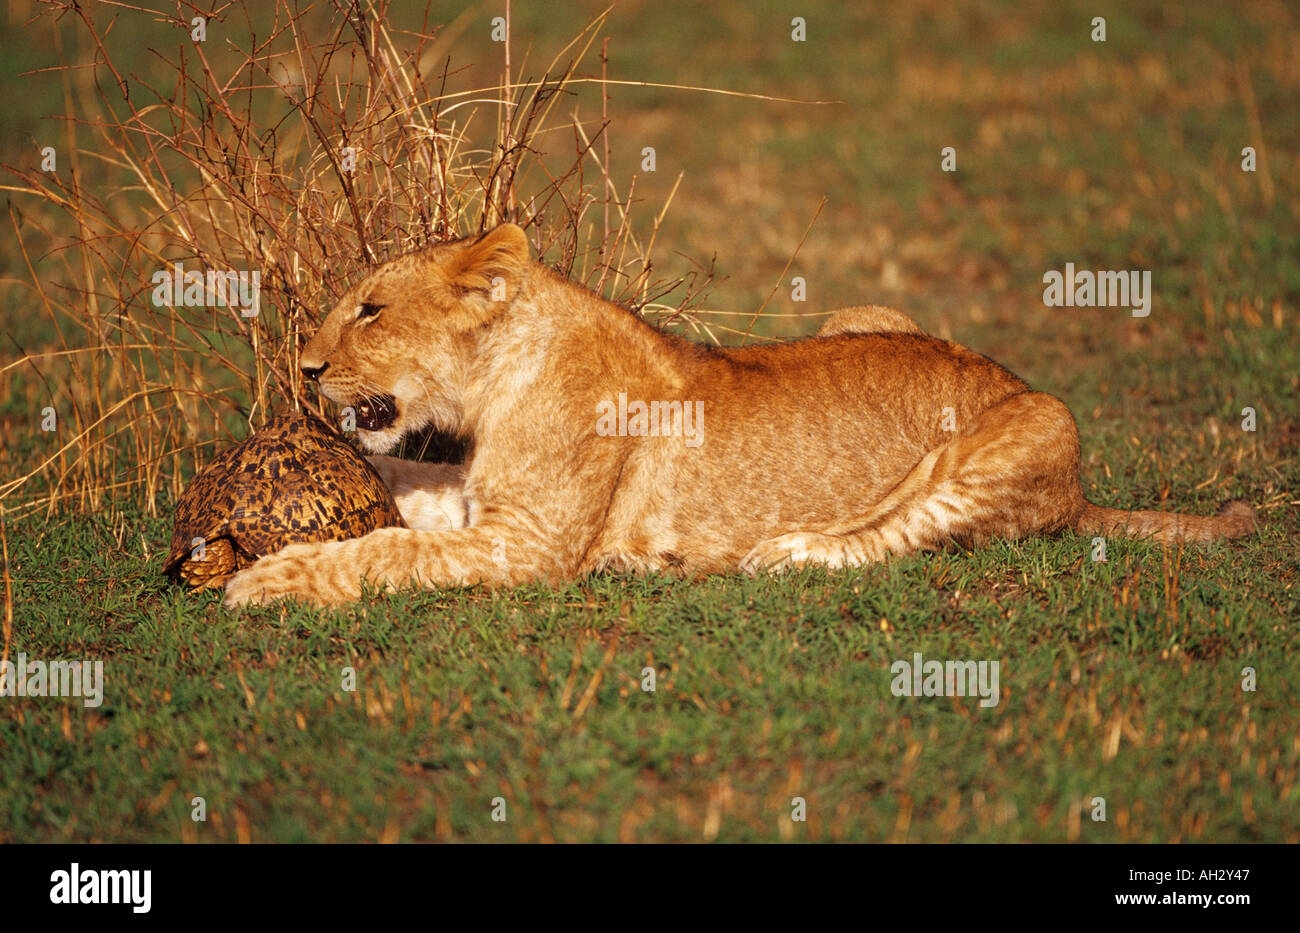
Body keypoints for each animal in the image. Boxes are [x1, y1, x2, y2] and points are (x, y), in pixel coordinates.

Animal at [223, 223, 1256, 607]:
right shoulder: (484, 505)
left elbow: (386, 551)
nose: (306, 368)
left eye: (371, 309)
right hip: (862, 313)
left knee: (905, 530)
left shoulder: (531, 547)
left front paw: (266, 577)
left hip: (1043, 420)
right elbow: (404, 487)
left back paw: (781, 551)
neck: (496, 380)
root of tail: (1082, 492)